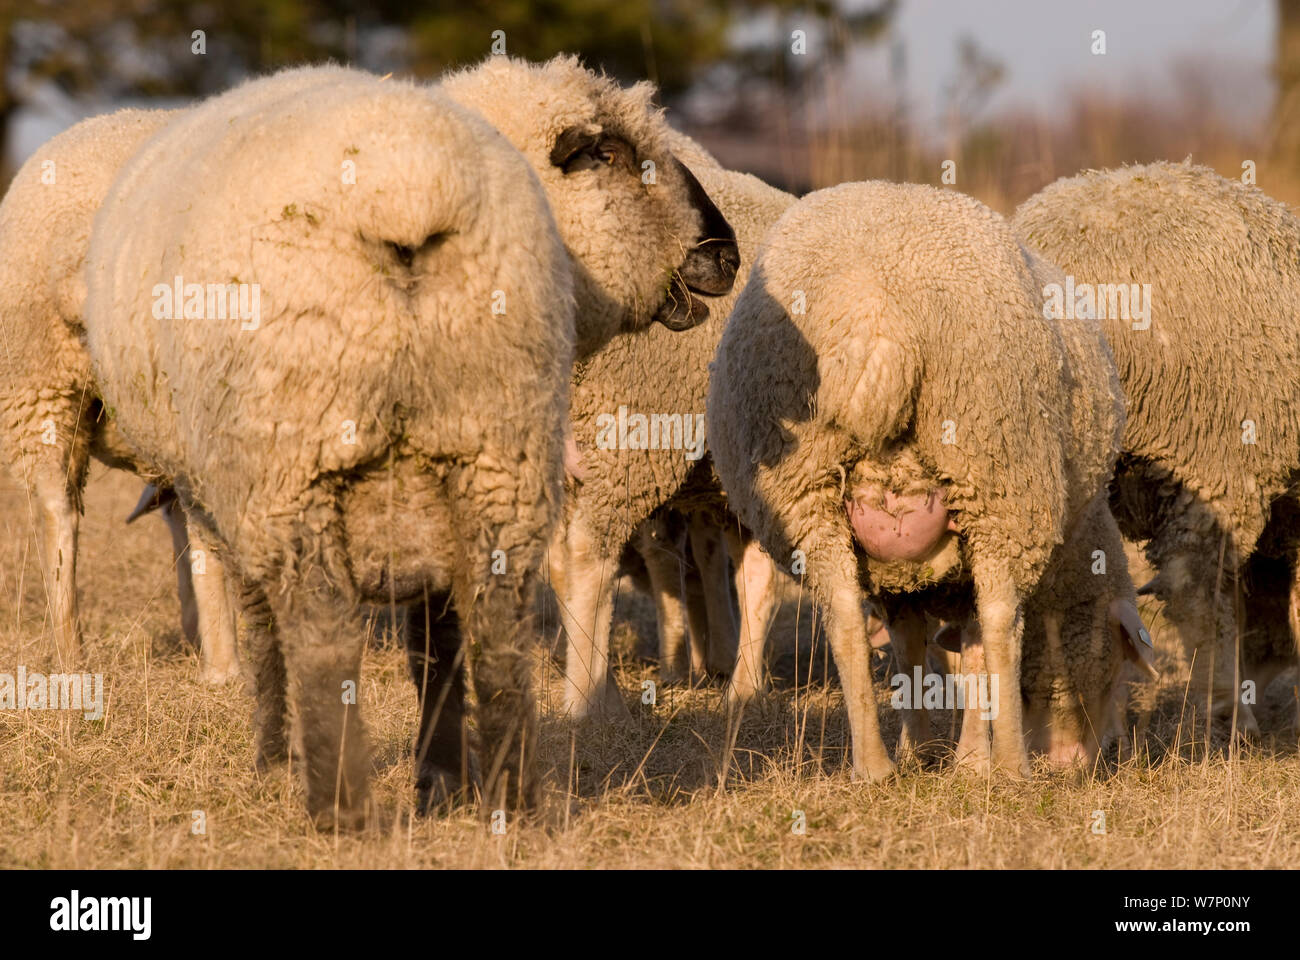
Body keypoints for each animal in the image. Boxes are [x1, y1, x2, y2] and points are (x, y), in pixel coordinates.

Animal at [84, 66, 576, 826]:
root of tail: (408, 187)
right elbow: (436, 639)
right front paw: (438, 774)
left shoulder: (227, 497)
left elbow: (262, 632)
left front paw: (271, 759)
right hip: (500, 444)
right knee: (499, 632)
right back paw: (510, 803)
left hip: (293, 452)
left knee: (321, 635)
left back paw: (336, 809)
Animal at [707, 181, 1154, 779]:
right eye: (1116, 672)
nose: (1087, 759)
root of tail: (874, 323)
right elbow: (971, 651)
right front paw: (971, 759)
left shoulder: (899, 572)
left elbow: (910, 646)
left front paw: (918, 748)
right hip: (997, 475)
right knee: (999, 622)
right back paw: (1011, 767)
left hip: (803, 492)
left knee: (844, 619)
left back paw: (873, 767)